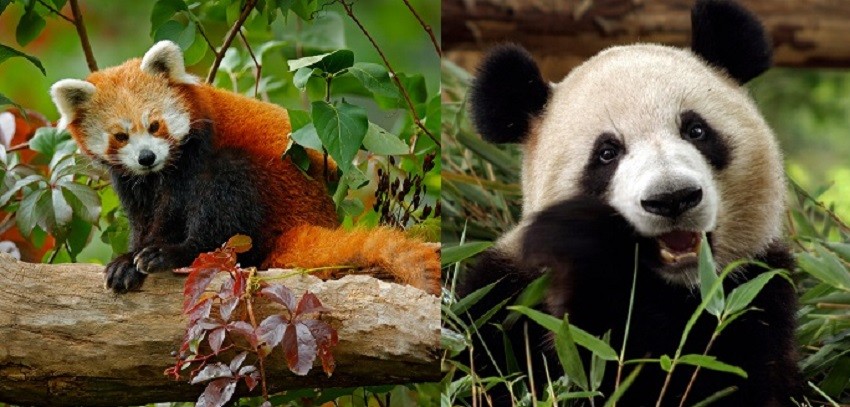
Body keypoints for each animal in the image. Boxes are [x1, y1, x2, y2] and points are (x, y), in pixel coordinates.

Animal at [457, 0, 803, 405]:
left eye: (696, 130)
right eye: (607, 153)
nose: (672, 198)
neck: (676, 288)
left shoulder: (756, 291)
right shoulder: (506, 300)